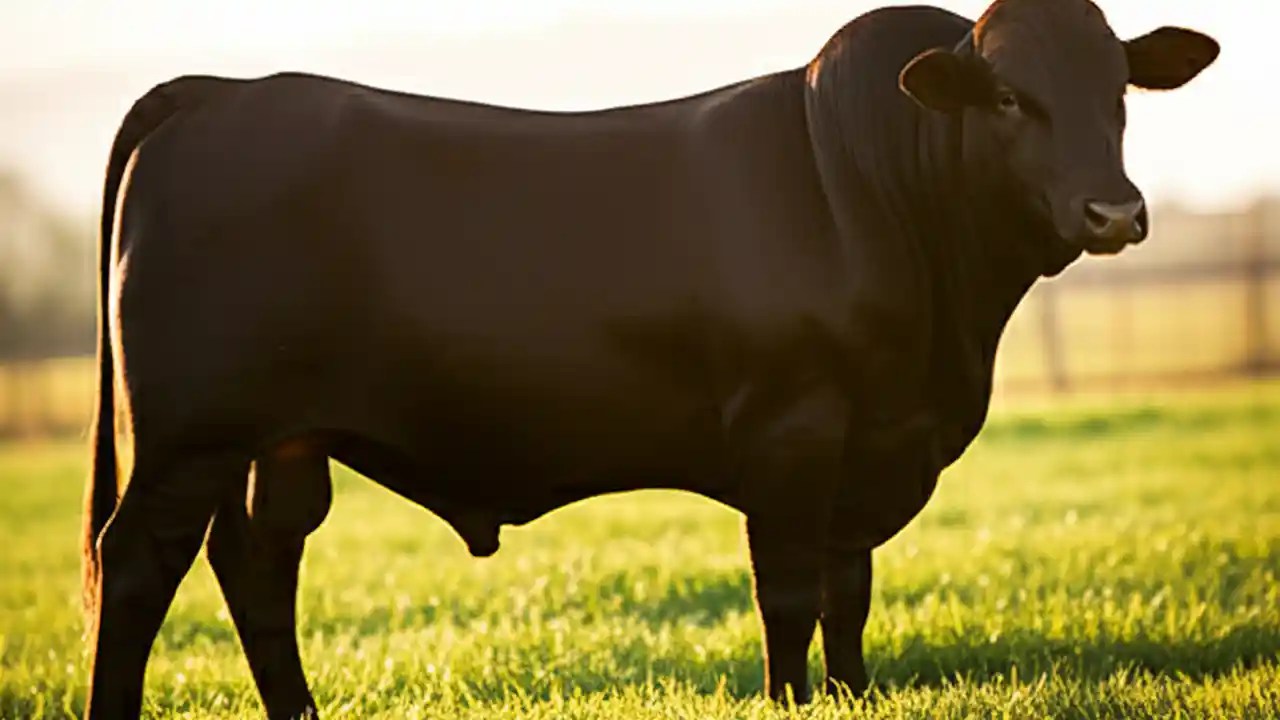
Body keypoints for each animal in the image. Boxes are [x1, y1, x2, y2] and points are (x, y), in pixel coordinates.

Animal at [80, 0, 1217, 716]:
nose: (1114, 211)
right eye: (1008, 97)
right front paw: (789, 701)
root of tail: (218, 90)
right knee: (136, 565)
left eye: (1120, 90)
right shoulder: (793, 429)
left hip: (274, 440)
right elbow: (787, 593)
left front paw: (851, 697)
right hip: (186, 435)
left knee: (257, 563)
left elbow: (847, 593)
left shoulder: (871, 444)